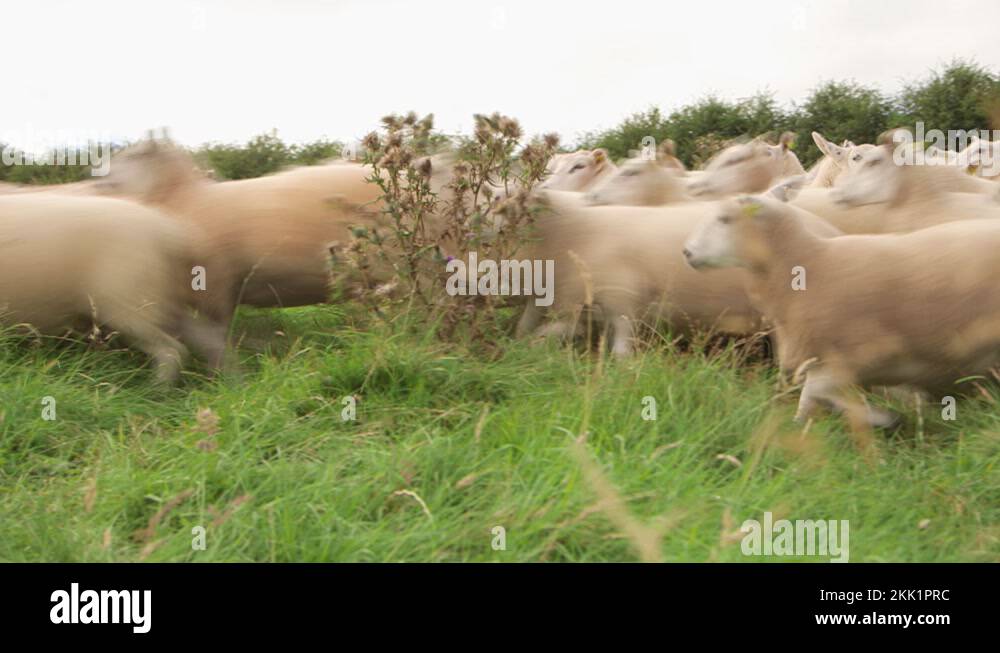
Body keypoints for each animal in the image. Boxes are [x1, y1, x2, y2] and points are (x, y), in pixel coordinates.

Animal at [0, 193, 226, 383]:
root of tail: (172, 232)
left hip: (131, 304)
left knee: (173, 350)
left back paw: (156, 391)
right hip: (160, 300)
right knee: (208, 338)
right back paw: (221, 377)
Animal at [683, 194, 1000, 428]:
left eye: (724, 219)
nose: (687, 252)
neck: (809, 263)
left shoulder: (864, 353)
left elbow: (817, 391)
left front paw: (881, 418)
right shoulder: (825, 359)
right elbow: (810, 399)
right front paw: (798, 429)